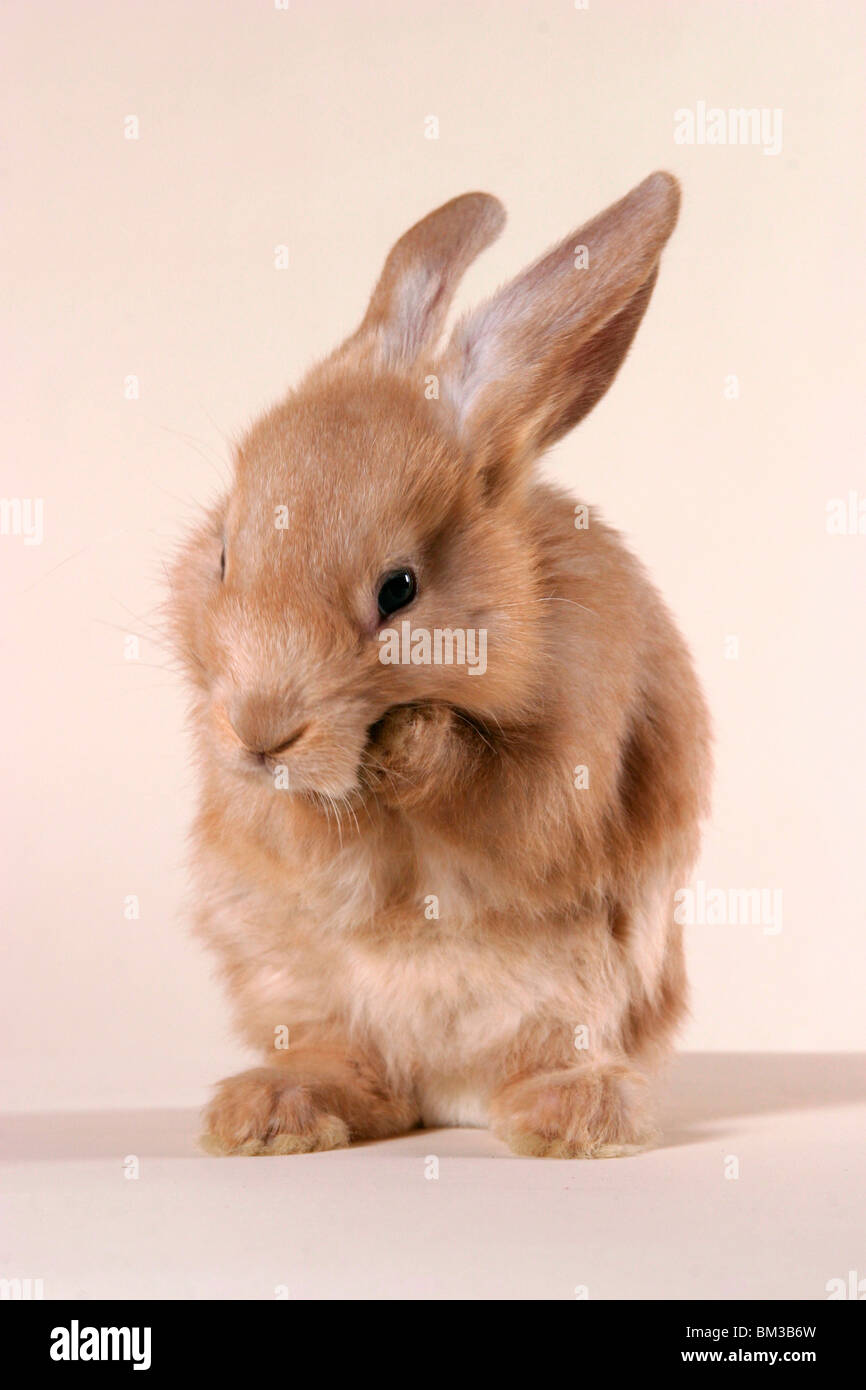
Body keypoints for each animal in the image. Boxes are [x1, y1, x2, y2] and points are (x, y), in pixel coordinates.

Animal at [168, 171, 711, 1159]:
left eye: (400, 590)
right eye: (224, 554)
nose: (262, 733)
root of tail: (447, 1095)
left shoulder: (570, 765)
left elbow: (499, 796)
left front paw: (411, 746)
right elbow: (296, 832)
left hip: (582, 992)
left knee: (541, 1062)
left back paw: (570, 1120)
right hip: (295, 986)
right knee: (361, 1076)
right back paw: (272, 1112)